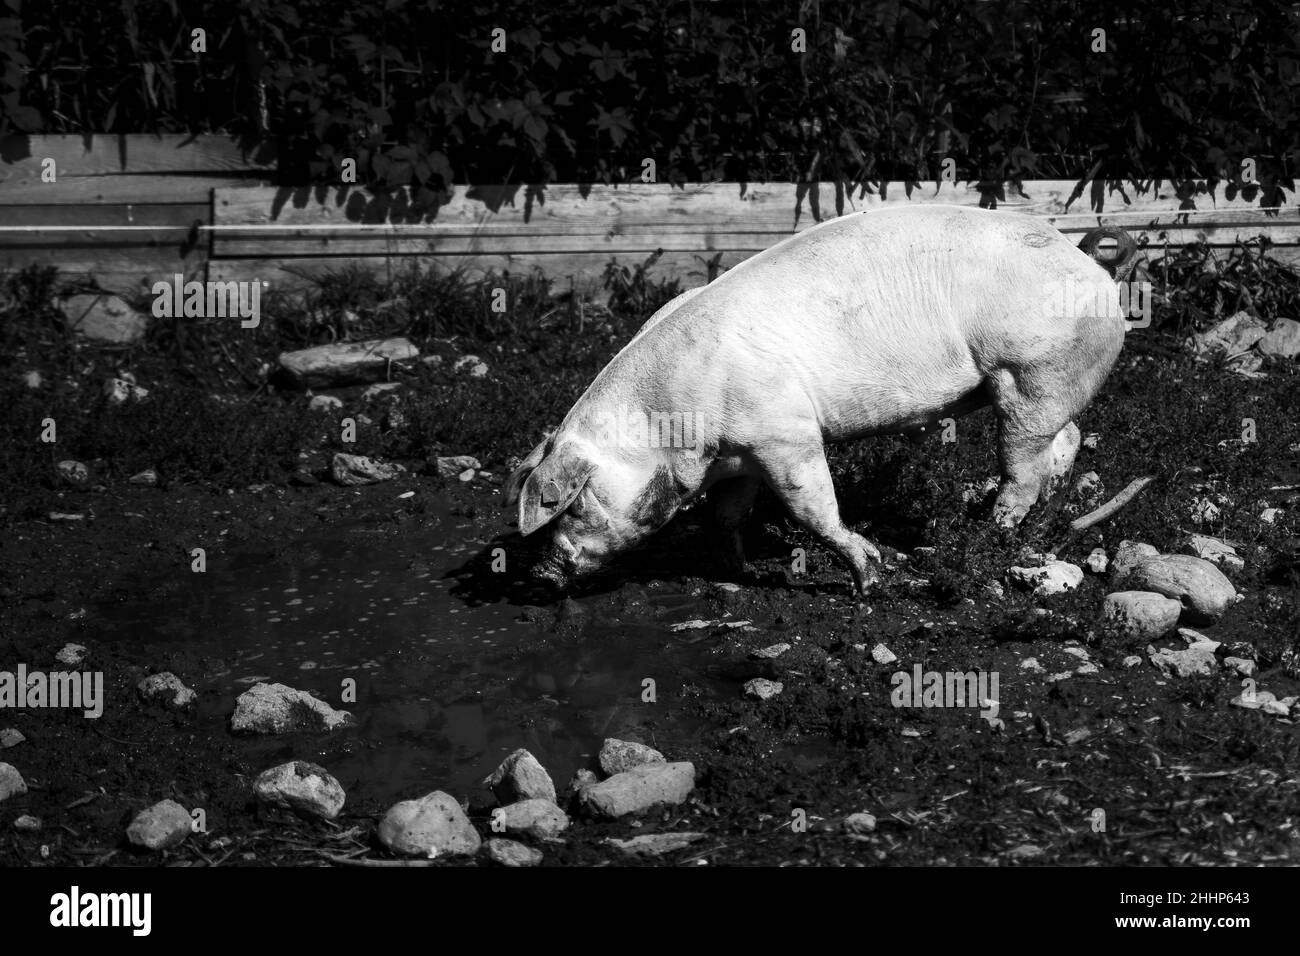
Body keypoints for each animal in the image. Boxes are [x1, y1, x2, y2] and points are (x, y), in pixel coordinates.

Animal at [504, 203, 1137, 595]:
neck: (670, 423)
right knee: (1066, 439)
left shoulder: (784, 435)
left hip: (1031, 372)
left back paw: (990, 532)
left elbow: (813, 507)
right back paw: (1037, 520)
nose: (539, 576)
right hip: (1041, 386)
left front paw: (870, 580)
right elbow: (728, 513)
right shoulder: (739, 454)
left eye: (573, 506)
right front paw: (736, 569)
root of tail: (1089, 260)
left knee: (1024, 465)